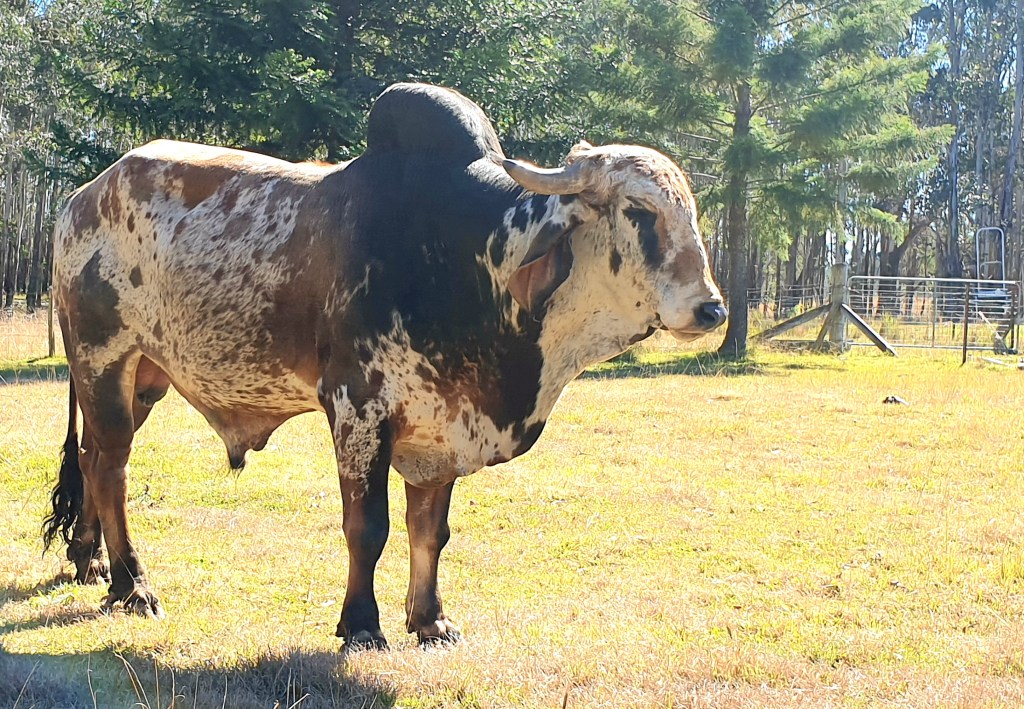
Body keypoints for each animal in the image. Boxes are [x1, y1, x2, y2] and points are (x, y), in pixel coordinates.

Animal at [43, 83, 726, 648]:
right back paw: (134, 585)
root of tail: (80, 197)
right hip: (102, 360)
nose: (711, 307)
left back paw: (91, 563)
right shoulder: (358, 408)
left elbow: (430, 531)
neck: (465, 254)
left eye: (690, 212)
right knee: (113, 469)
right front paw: (362, 625)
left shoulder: (444, 422)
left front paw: (430, 620)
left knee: (92, 460)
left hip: (142, 377)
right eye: (640, 212)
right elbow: (367, 527)